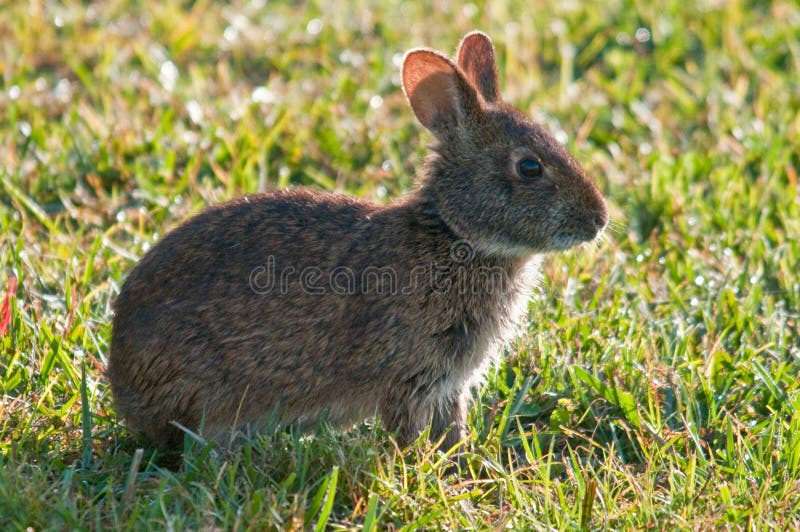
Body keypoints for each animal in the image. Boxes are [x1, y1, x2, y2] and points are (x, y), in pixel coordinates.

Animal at [107, 31, 608, 457]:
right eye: (529, 168)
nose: (599, 219)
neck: (454, 234)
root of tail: (121, 383)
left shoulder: (447, 383)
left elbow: (451, 427)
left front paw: (460, 465)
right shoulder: (407, 377)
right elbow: (408, 433)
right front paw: (422, 471)